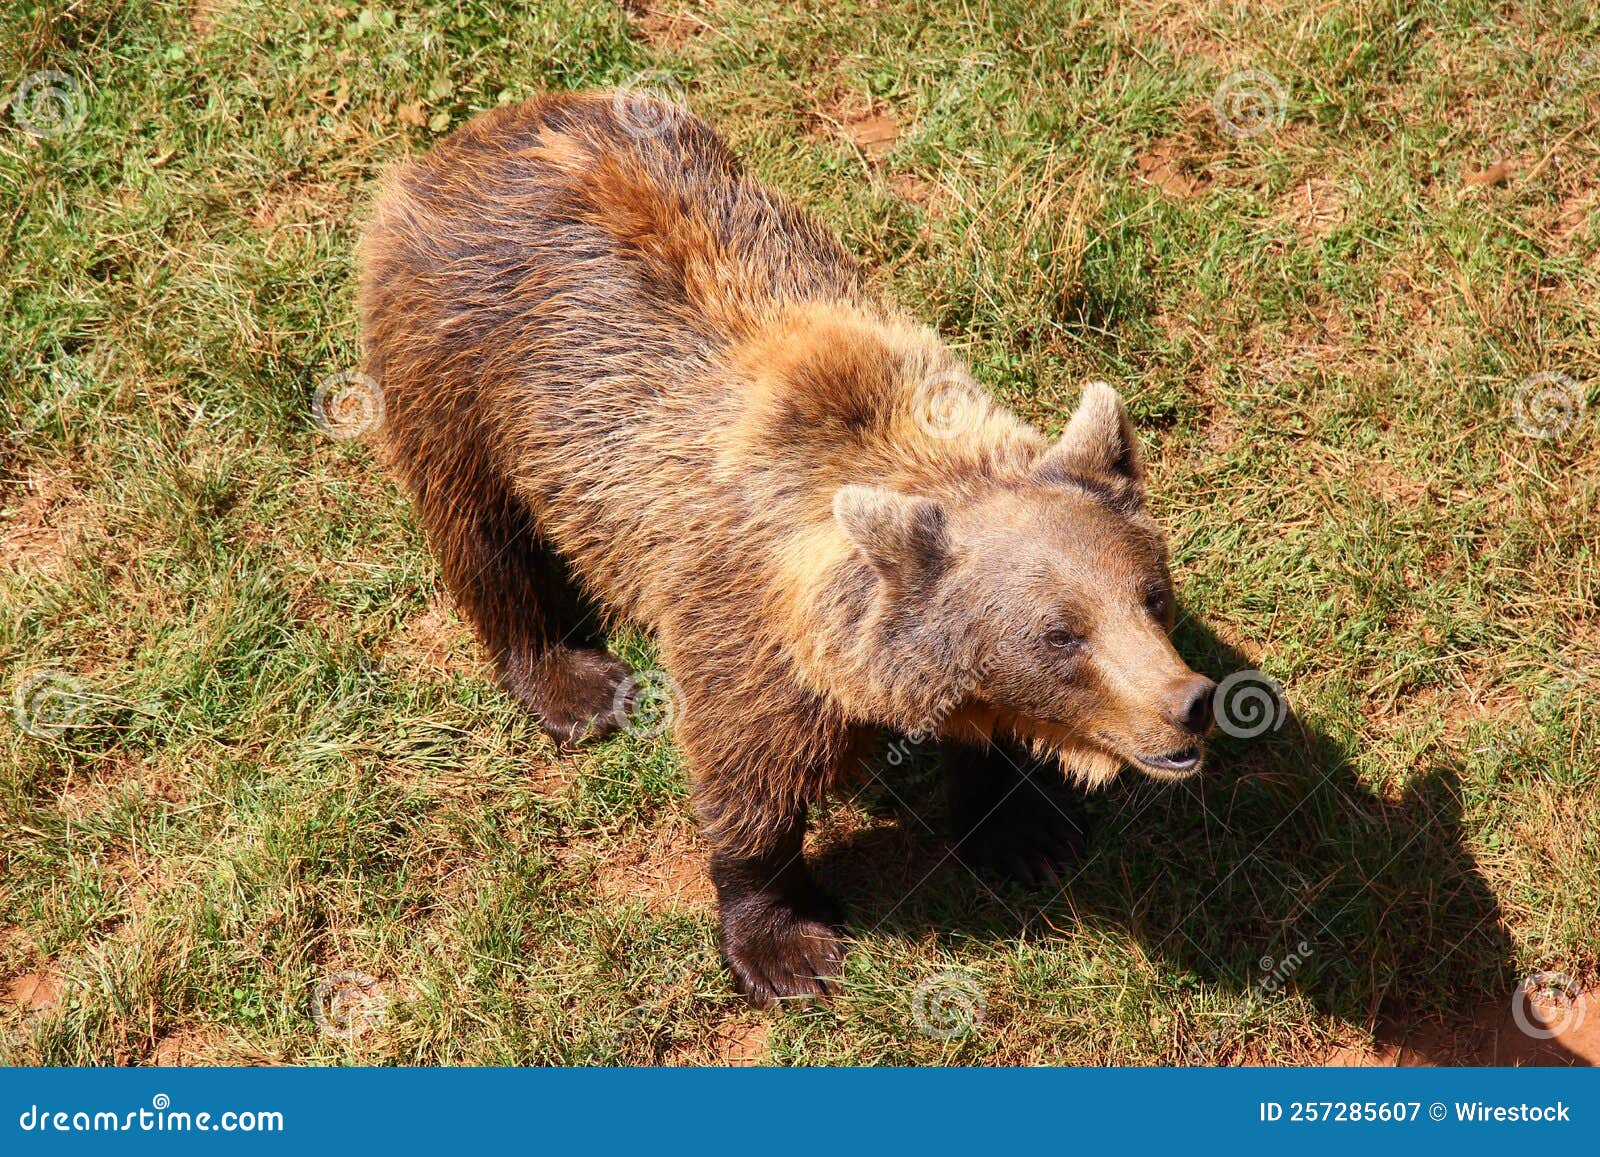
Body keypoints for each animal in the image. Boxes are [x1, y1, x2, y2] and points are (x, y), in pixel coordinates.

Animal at [357, 90, 1217, 1007]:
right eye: (1061, 633)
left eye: (1152, 593)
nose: (1188, 701)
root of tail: (467, 143)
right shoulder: (745, 619)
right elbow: (749, 773)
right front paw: (785, 945)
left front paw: (1025, 828)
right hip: (456, 365)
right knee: (483, 533)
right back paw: (574, 681)